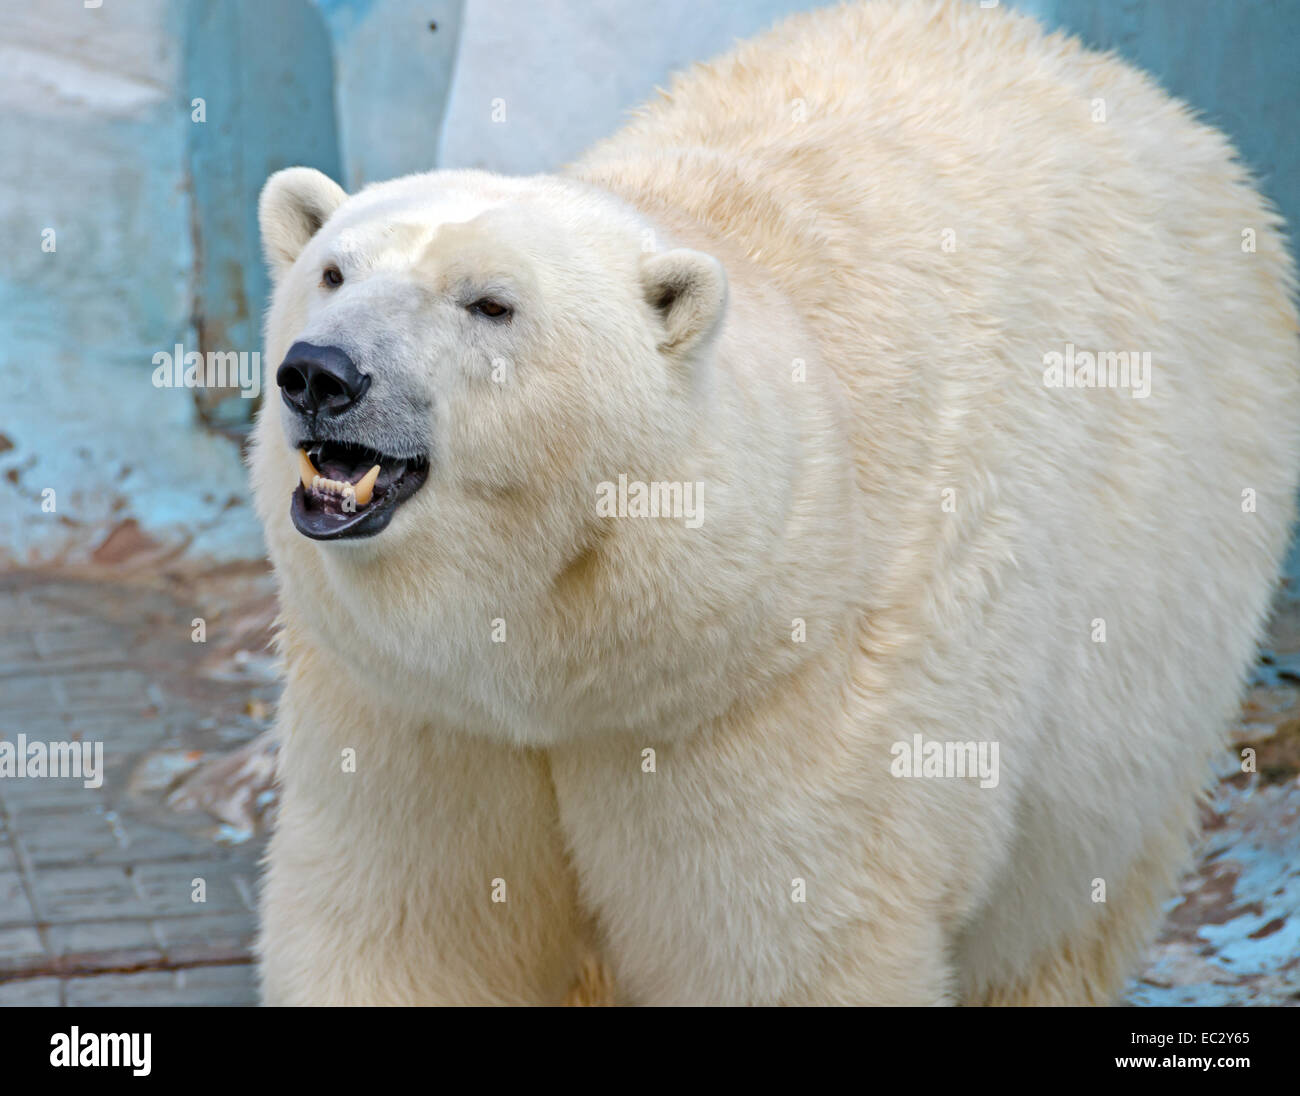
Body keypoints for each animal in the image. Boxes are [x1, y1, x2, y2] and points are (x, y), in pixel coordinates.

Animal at [249, 0, 1300, 1005]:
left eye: (490, 304)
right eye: (333, 271)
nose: (321, 372)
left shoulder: (774, 702)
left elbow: (784, 952)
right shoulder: (417, 712)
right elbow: (409, 930)